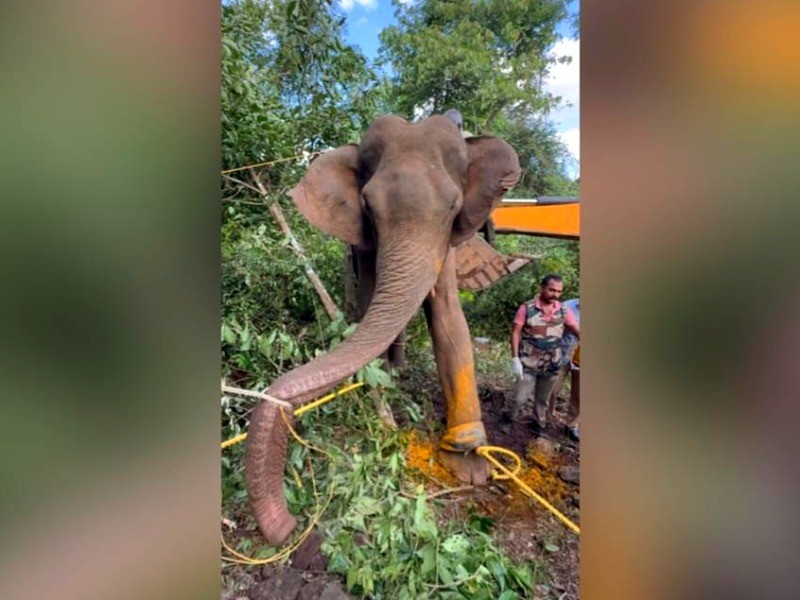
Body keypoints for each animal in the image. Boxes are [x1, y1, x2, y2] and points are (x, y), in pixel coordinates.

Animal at [246, 114, 521, 545]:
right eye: (368, 207)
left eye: (454, 206)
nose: (288, 526)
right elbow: (373, 294)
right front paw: (382, 385)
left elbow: (447, 314)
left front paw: (469, 465)